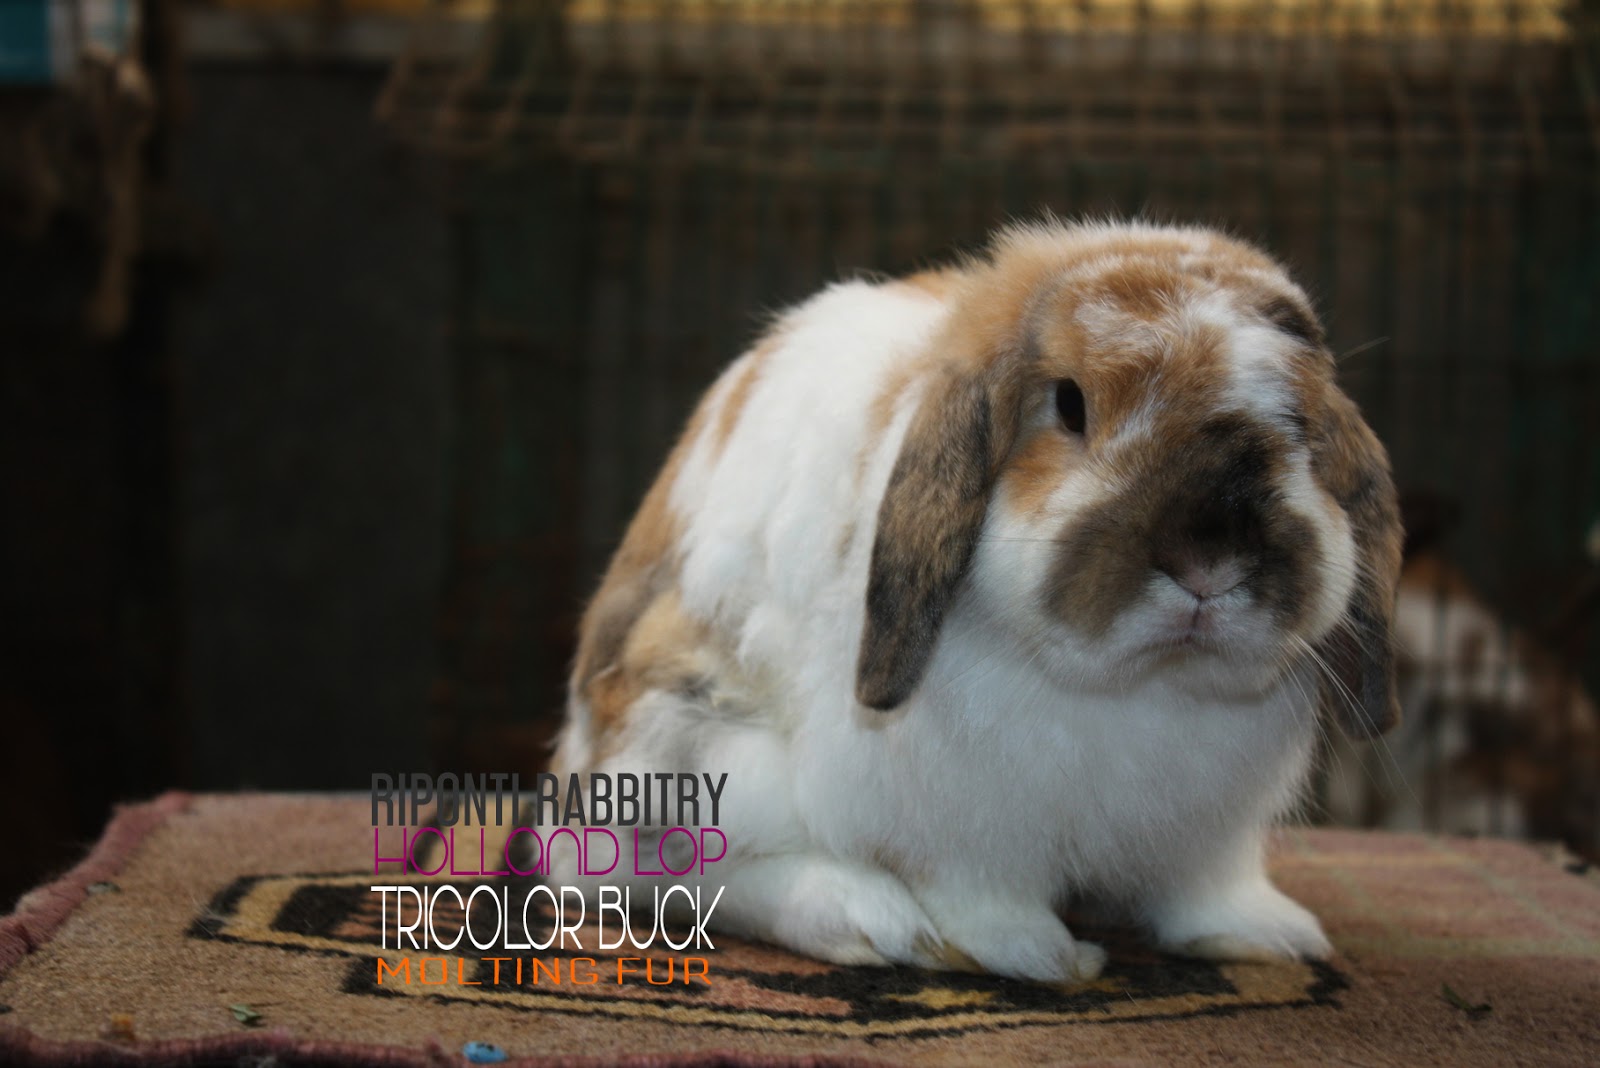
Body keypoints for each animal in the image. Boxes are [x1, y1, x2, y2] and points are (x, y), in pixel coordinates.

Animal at [548, 218, 1403, 983]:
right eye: (1069, 405)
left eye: (1299, 422)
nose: (1209, 562)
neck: (1144, 690)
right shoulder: (962, 829)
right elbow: (982, 896)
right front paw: (1044, 955)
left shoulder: (1206, 838)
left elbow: (1201, 893)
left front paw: (1268, 936)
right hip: (697, 746)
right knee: (659, 876)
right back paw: (867, 919)